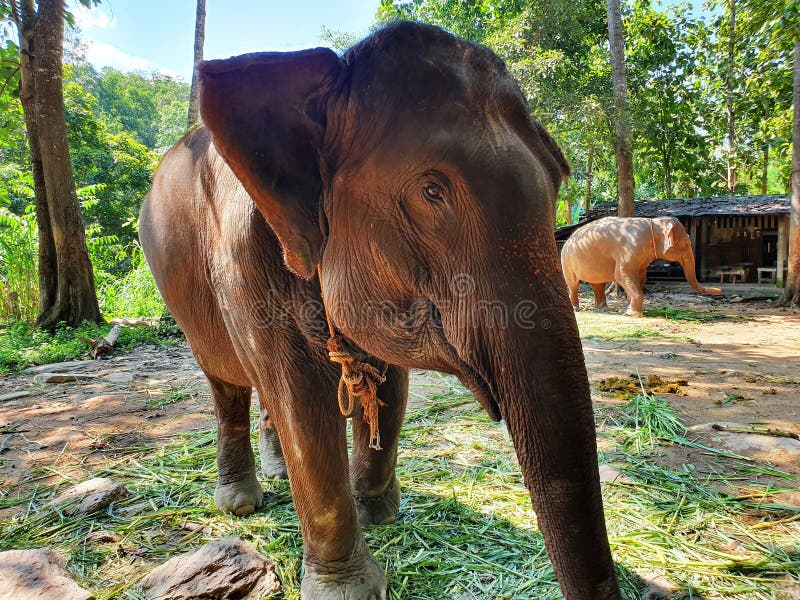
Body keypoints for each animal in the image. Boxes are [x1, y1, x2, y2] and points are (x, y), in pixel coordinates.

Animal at [139, 21, 621, 600]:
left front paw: (379, 515)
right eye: (431, 192)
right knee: (228, 385)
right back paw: (241, 502)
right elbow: (302, 402)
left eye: (558, 180)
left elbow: (389, 383)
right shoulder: (240, 263)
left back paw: (278, 473)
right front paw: (348, 588)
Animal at [561, 216, 722, 317]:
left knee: (597, 284)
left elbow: (641, 275)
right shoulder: (629, 249)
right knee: (573, 284)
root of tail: (566, 240)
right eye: (686, 244)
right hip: (567, 262)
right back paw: (576, 309)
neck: (654, 223)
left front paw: (632, 307)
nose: (719, 290)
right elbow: (621, 274)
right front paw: (633, 314)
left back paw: (603, 309)